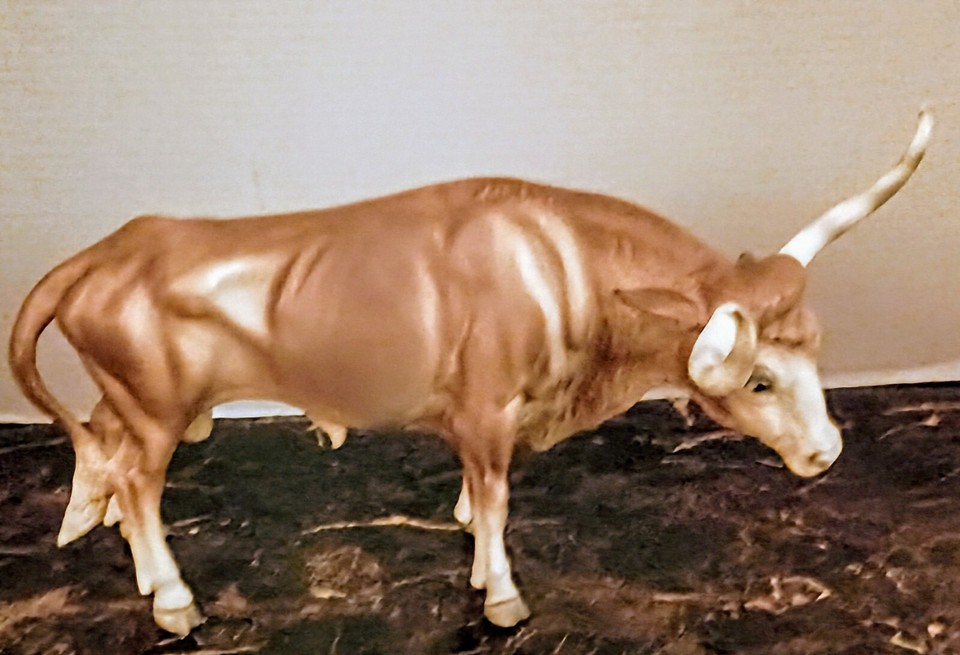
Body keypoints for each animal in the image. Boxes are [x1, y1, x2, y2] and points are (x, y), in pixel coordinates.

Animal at [8, 108, 931, 635]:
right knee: (137, 486)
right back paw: (172, 600)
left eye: (816, 348)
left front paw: (471, 546)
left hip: (129, 406)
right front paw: (501, 593)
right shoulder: (489, 412)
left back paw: (132, 565)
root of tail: (110, 248)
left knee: (113, 471)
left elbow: (476, 497)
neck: (563, 267)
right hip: (158, 411)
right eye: (758, 380)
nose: (826, 452)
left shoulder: (483, 419)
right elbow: (496, 502)